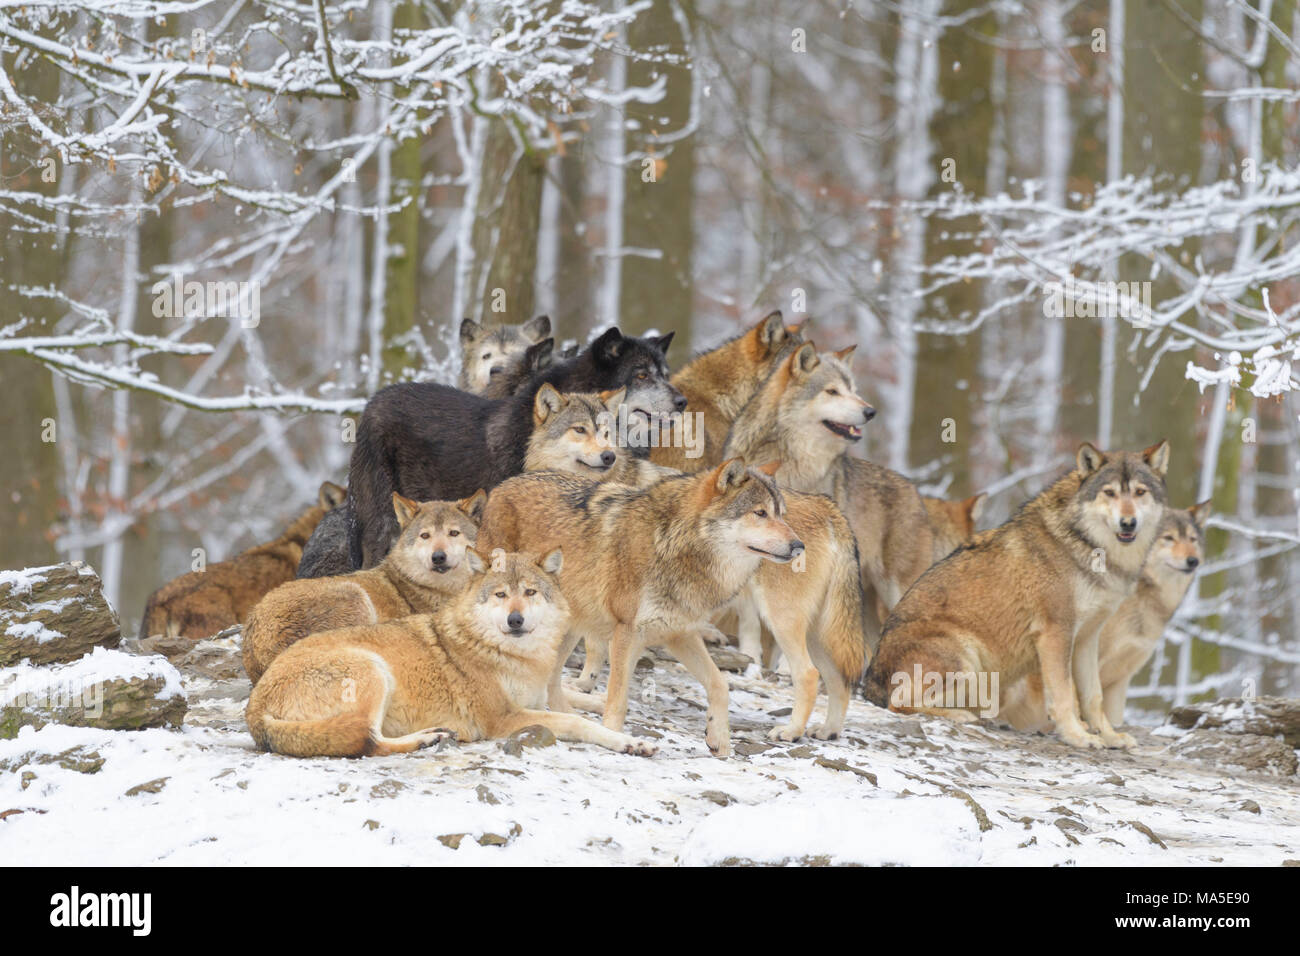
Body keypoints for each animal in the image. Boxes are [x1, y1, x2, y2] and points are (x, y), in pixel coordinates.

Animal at [246, 548, 657, 758]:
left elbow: (576, 708)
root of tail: (254, 710)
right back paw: (428, 739)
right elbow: (577, 723)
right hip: (373, 669)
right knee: (368, 741)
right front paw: (629, 742)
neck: (507, 653)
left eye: (530, 592)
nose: (515, 620)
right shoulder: (504, 719)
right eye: (500, 595)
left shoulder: (534, 701)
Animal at [476, 460, 804, 756]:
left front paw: (719, 739)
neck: (677, 545)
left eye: (781, 514)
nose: (799, 546)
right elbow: (618, 698)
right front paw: (617, 737)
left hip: (564, 630)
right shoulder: (627, 633)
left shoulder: (681, 634)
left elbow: (720, 684)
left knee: (551, 683)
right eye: (760, 513)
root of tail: (506, 483)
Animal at [520, 391, 870, 740]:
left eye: (606, 433)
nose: (608, 456)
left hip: (782, 619)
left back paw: (790, 732)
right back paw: (827, 731)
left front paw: (586, 687)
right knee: (839, 680)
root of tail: (829, 508)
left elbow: (596, 647)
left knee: (808, 674)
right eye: (580, 430)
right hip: (819, 630)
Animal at [862, 441, 1171, 750]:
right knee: (898, 703)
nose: (1128, 523)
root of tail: (871, 677)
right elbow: (1063, 696)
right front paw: (1078, 737)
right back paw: (963, 715)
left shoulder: (1087, 638)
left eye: (1140, 492)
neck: (1087, 545)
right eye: (1110, 493)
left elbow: (1094, 696)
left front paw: (1109, 736)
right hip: (966, 659)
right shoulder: (1055, 633)